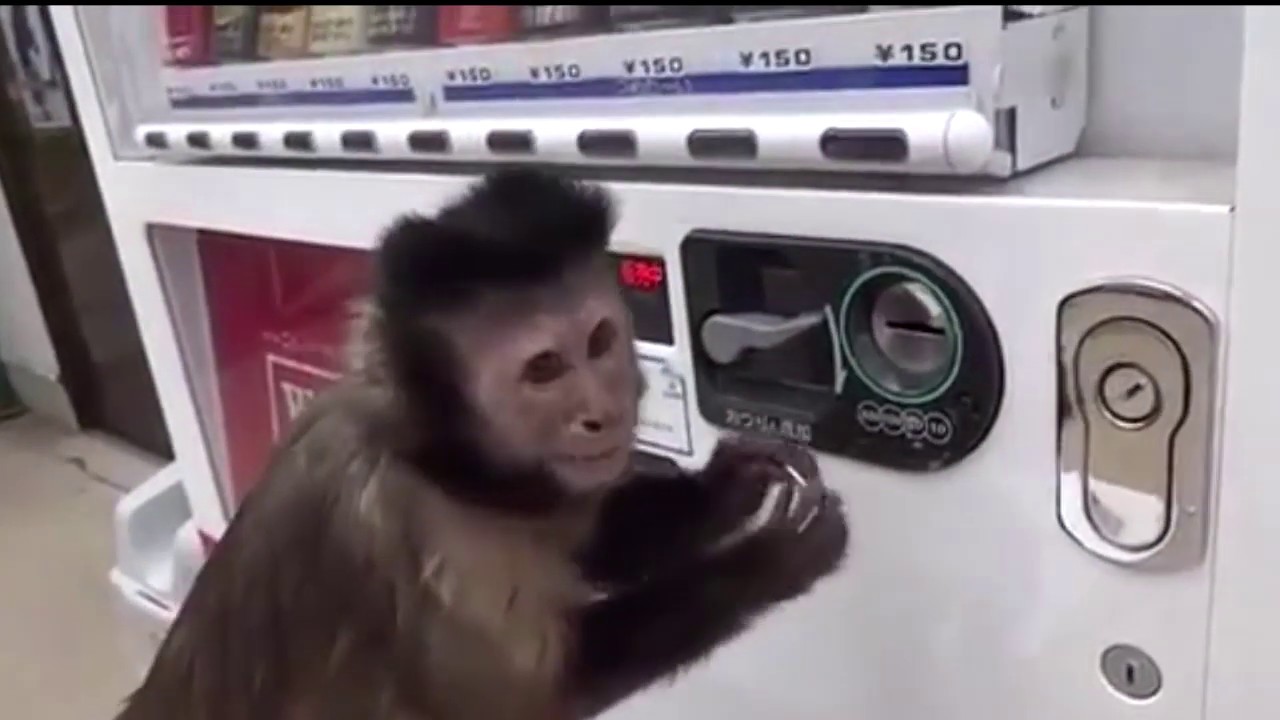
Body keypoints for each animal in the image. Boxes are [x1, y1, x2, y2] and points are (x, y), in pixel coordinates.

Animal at [114, 168, 849, 720]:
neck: (436, 458)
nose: (605, 413)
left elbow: (584, 541)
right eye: (545, 368)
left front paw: (728, 485)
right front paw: (772, 559)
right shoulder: (426, 537)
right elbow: (538, 695)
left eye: (600, 341)